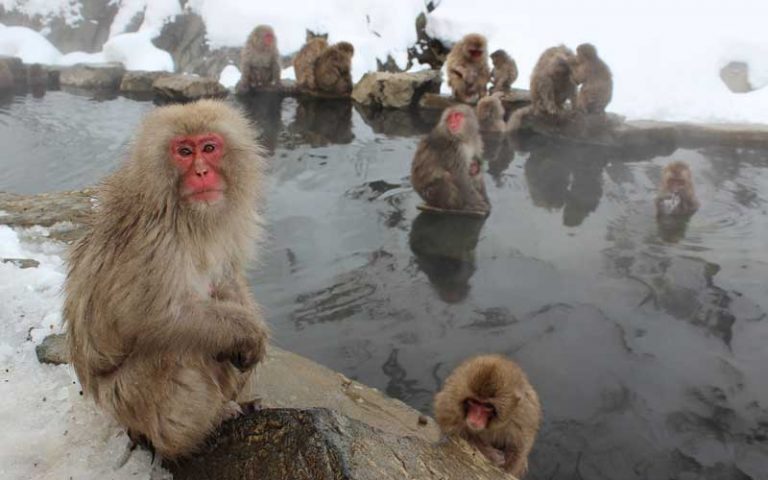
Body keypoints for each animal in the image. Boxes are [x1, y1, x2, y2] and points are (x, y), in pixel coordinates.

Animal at [64, 100, 268, 459]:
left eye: (209, 148)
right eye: (184, 152)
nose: (201, 172)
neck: (184, 213)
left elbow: (226, 279)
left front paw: (249, 327)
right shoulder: (155, 242)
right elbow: (154, 317)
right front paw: (250, 332)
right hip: (127, 400)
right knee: (174, 350)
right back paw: (202, 426)